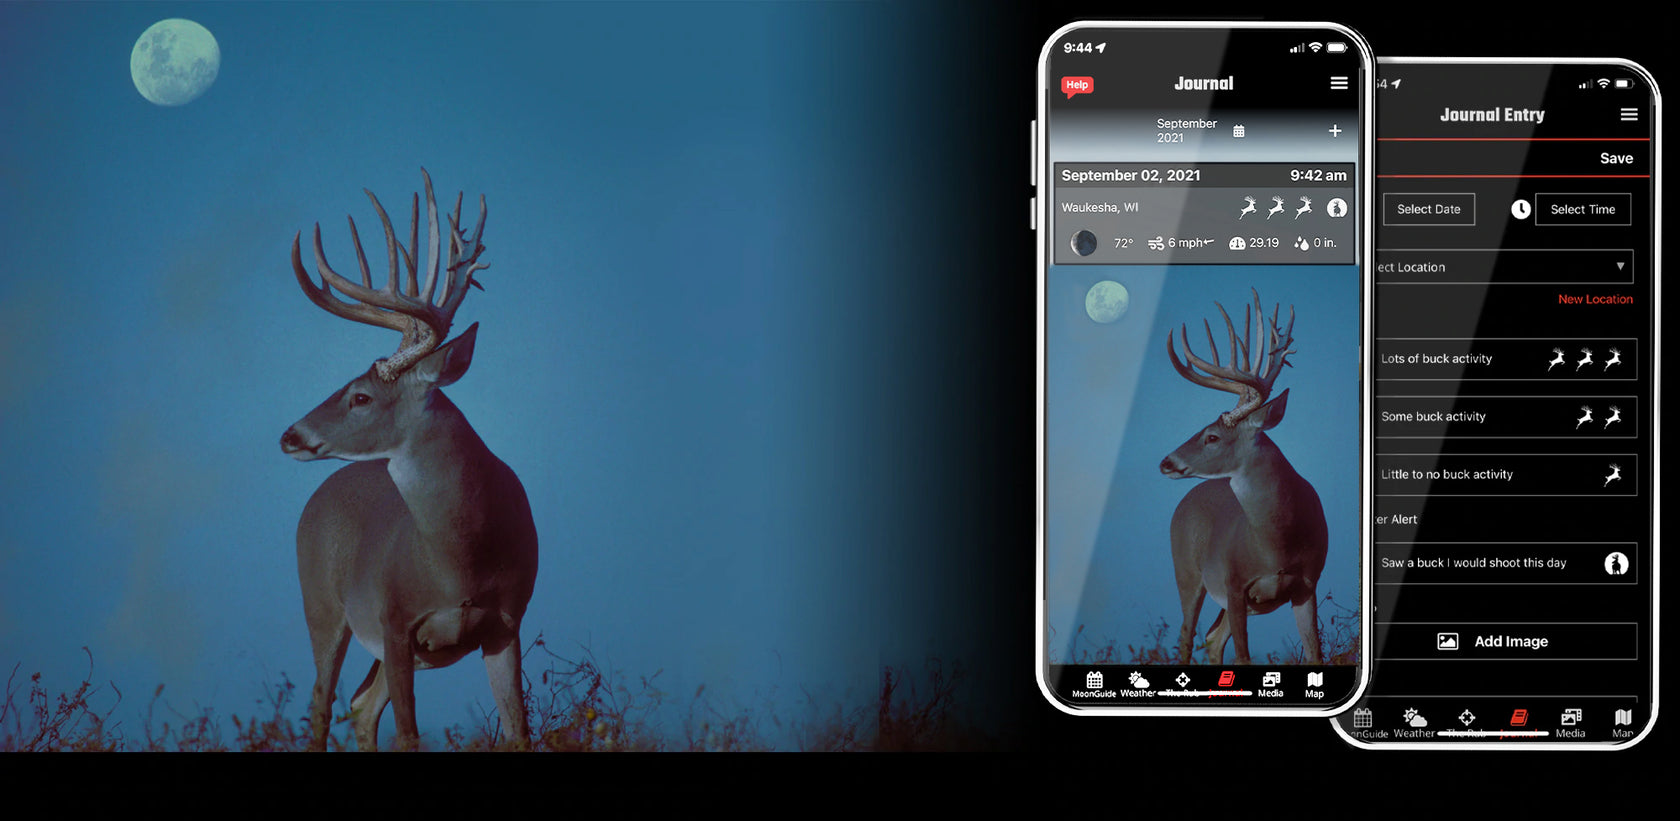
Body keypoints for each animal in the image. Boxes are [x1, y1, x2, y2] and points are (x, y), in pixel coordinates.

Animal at [278, 169, 539, 751]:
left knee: (359, 705)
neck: (460, 563)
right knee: (322, 702)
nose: (289, 435)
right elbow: (409, 736)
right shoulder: (394, 620)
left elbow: (518, 732)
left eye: (360, 396)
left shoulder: (507, 623)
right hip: (321, 603)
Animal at [1160, 289, 1328, 665]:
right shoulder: (1234, 584)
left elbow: (1314, 653)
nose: (1166, 462)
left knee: (1211, 638)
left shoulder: (1308, 584)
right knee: (1186, 635)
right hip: (1186, 571)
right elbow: (1243, 657)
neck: (1276, 545)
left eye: (1211, 436)